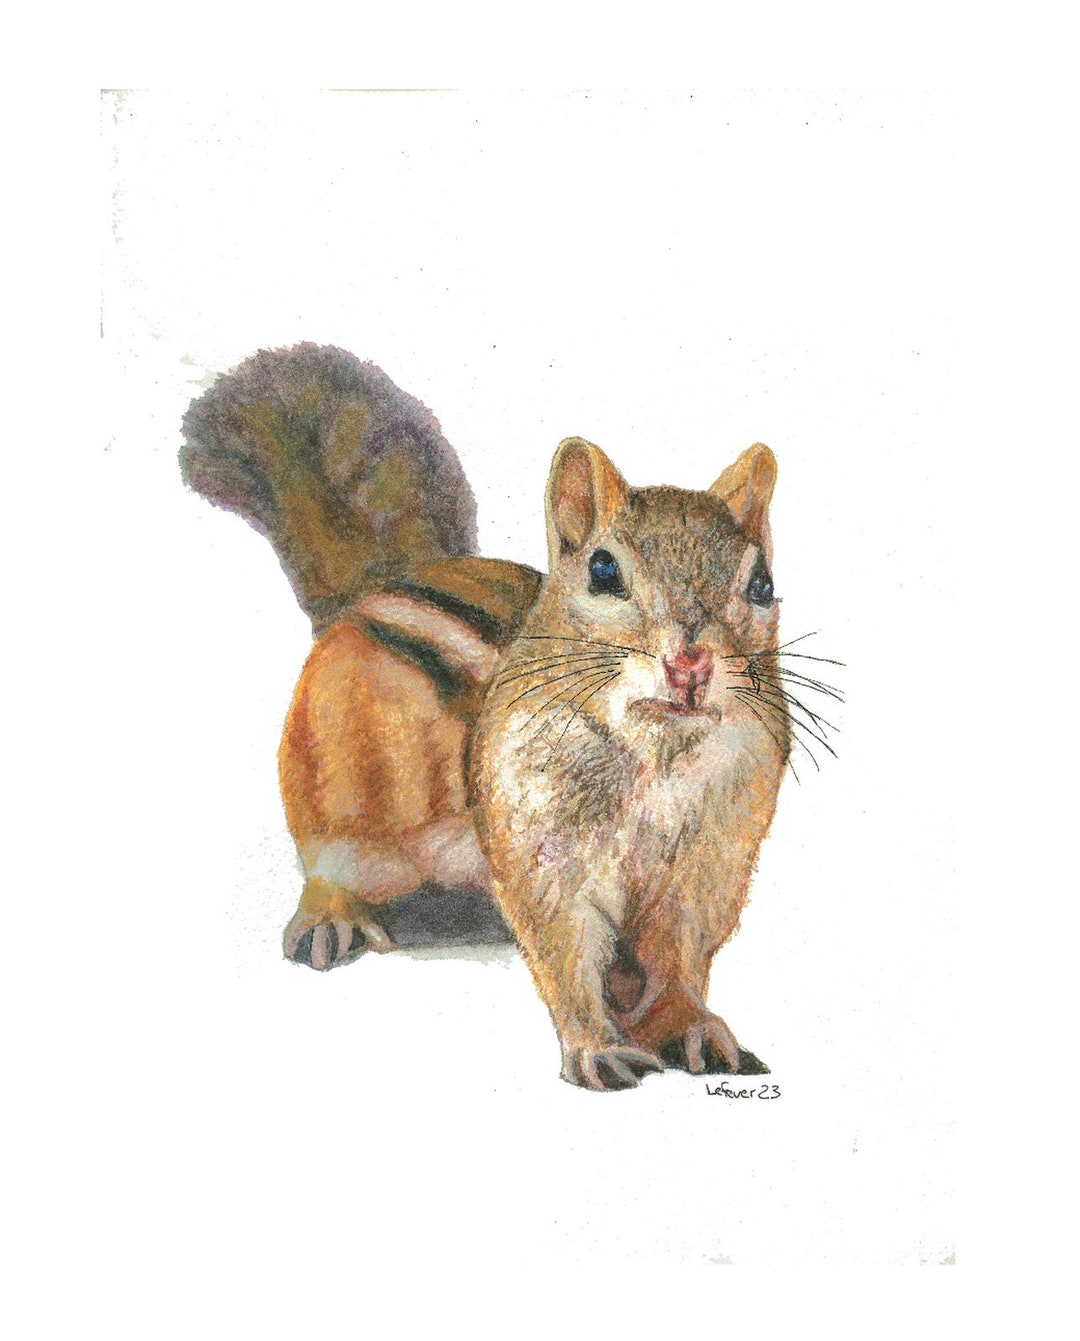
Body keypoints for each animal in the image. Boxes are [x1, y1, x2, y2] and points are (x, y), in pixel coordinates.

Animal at [182, 343, 803, 1090]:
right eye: (602, 570)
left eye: (763, 584)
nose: (691, 664)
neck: (657, 754)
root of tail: (370, 589)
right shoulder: (542, 848)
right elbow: (565, 948)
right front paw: (597, 1046)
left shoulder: (709, 863)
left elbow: (678, 957)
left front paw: (689, 1025)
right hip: (346, 821)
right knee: (329, 868)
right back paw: (330, 917)